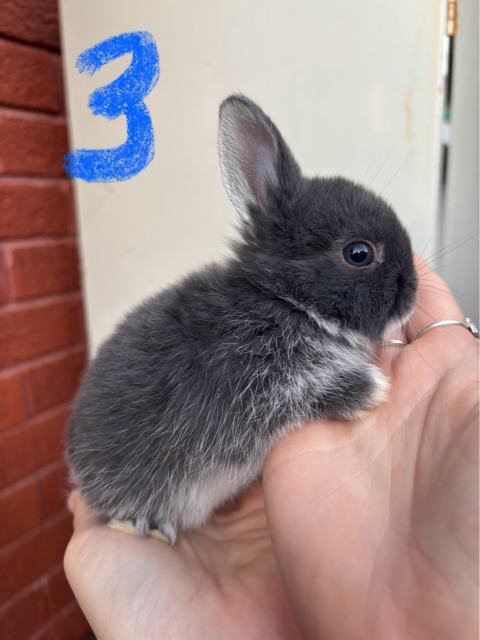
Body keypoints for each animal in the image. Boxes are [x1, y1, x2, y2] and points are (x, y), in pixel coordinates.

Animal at [66, 95, 417, 544]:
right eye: (359, 253)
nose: (413, 293)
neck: (286, 300)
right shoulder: (256, 382)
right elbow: (301, 392)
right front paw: (371, 390)